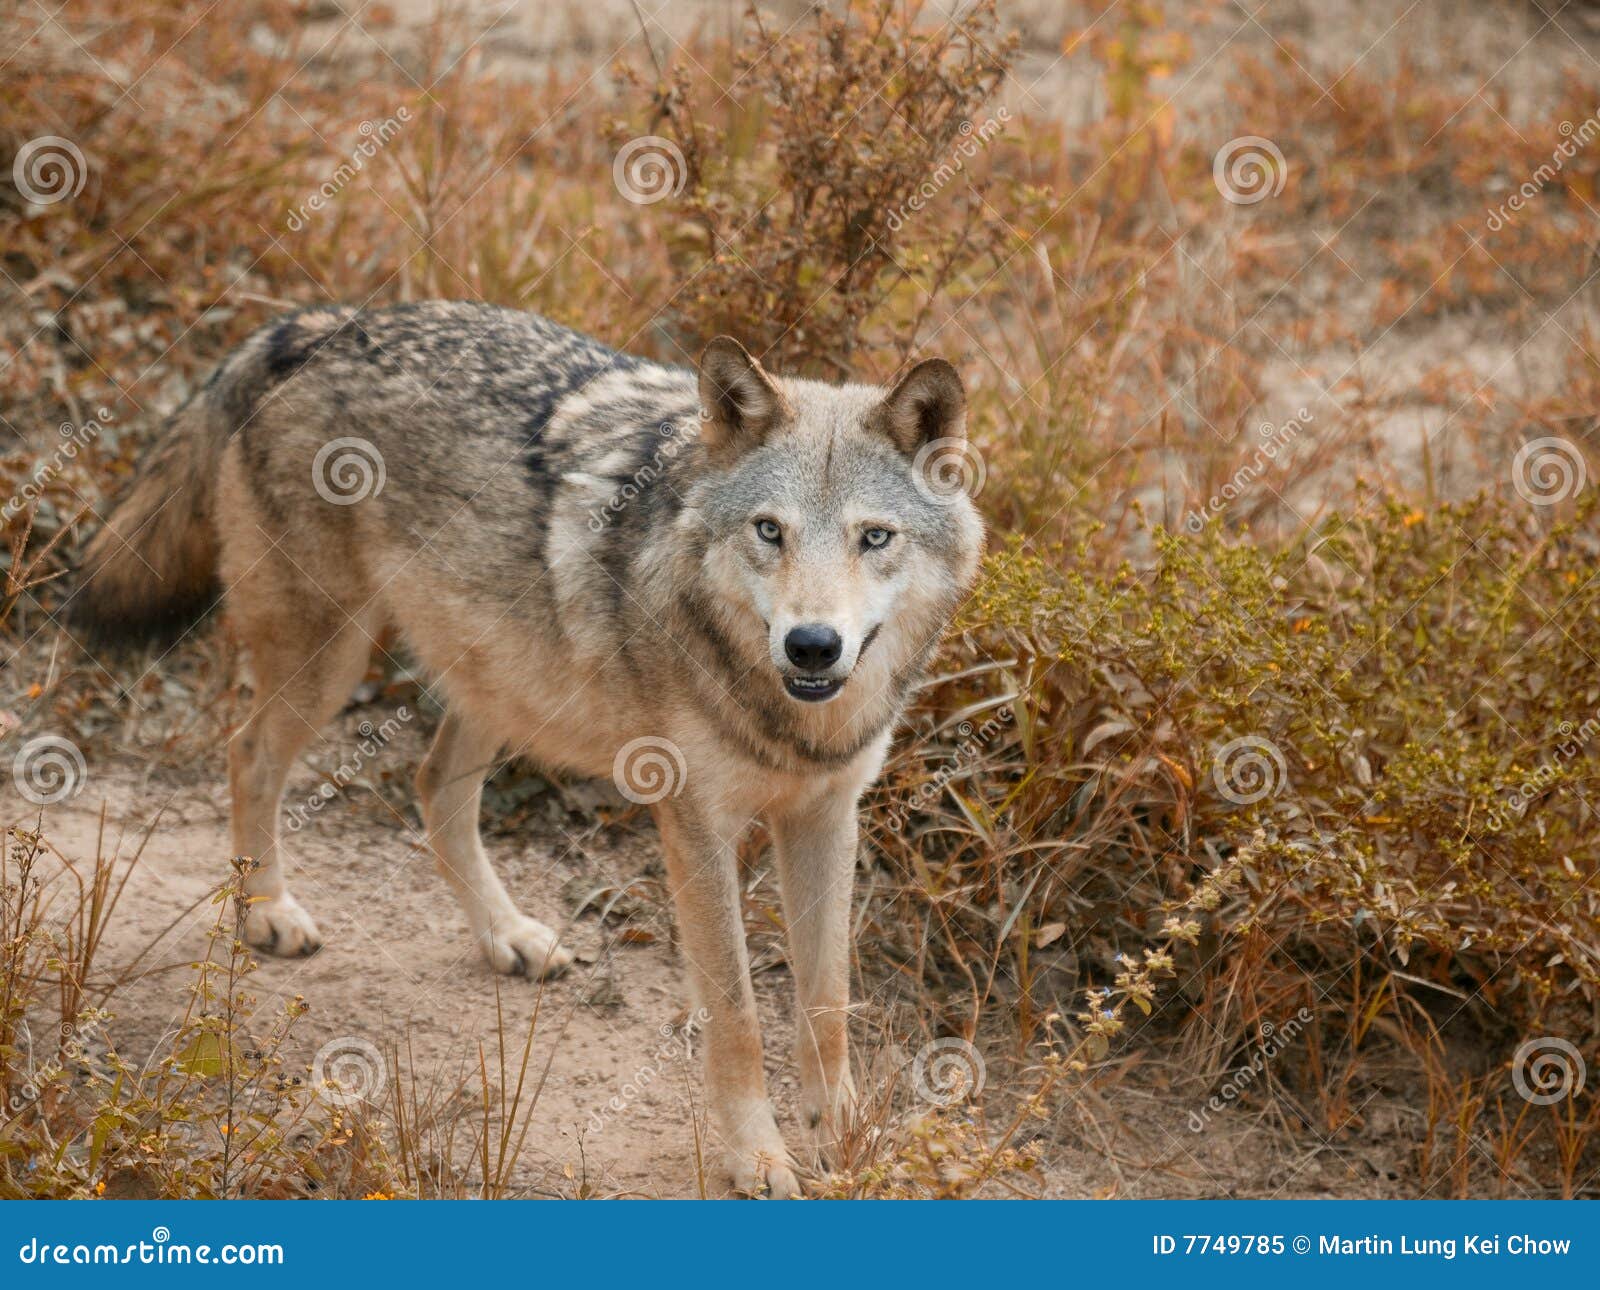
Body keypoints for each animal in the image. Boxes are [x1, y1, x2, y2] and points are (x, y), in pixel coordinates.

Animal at [71, 301, 983, 1196]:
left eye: (874, 538)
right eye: (769, 532)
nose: (812, 645)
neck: (790, 720)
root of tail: (307, 325)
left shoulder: (828, 814)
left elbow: (828, 1005)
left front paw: (845, 1141)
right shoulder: (696, 825)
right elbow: (737, 1015)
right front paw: (757, 1157)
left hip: (496, 679)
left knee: (433, 785)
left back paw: (507, 935)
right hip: (331, 659)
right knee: (249, 754)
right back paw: (267, 911)